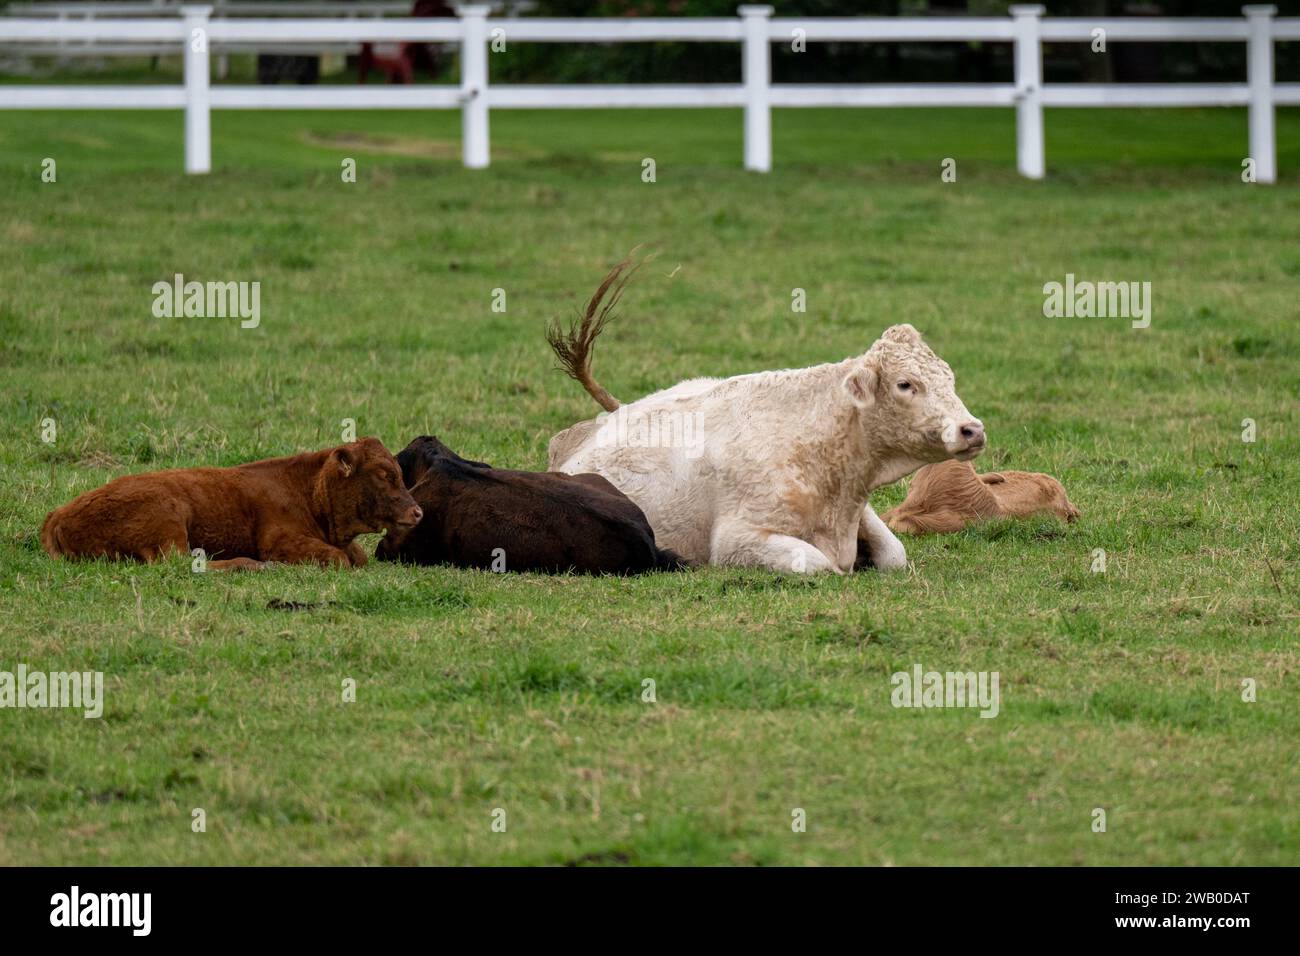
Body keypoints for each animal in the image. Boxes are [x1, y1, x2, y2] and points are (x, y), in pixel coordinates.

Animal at [40, 437, 421, 570]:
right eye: (384, 474)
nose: (417, 511)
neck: (309, 490)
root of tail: (58, 514)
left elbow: (355, 556)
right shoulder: (280, 542)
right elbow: (340, 559)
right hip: (169, 523)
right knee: (185, 565)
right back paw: (248, 565)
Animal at [544, 257, 985, 574]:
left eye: (949, 377)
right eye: (905, 385)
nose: (972, 430)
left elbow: (894, 554)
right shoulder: (737, 540)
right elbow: (818, 564)